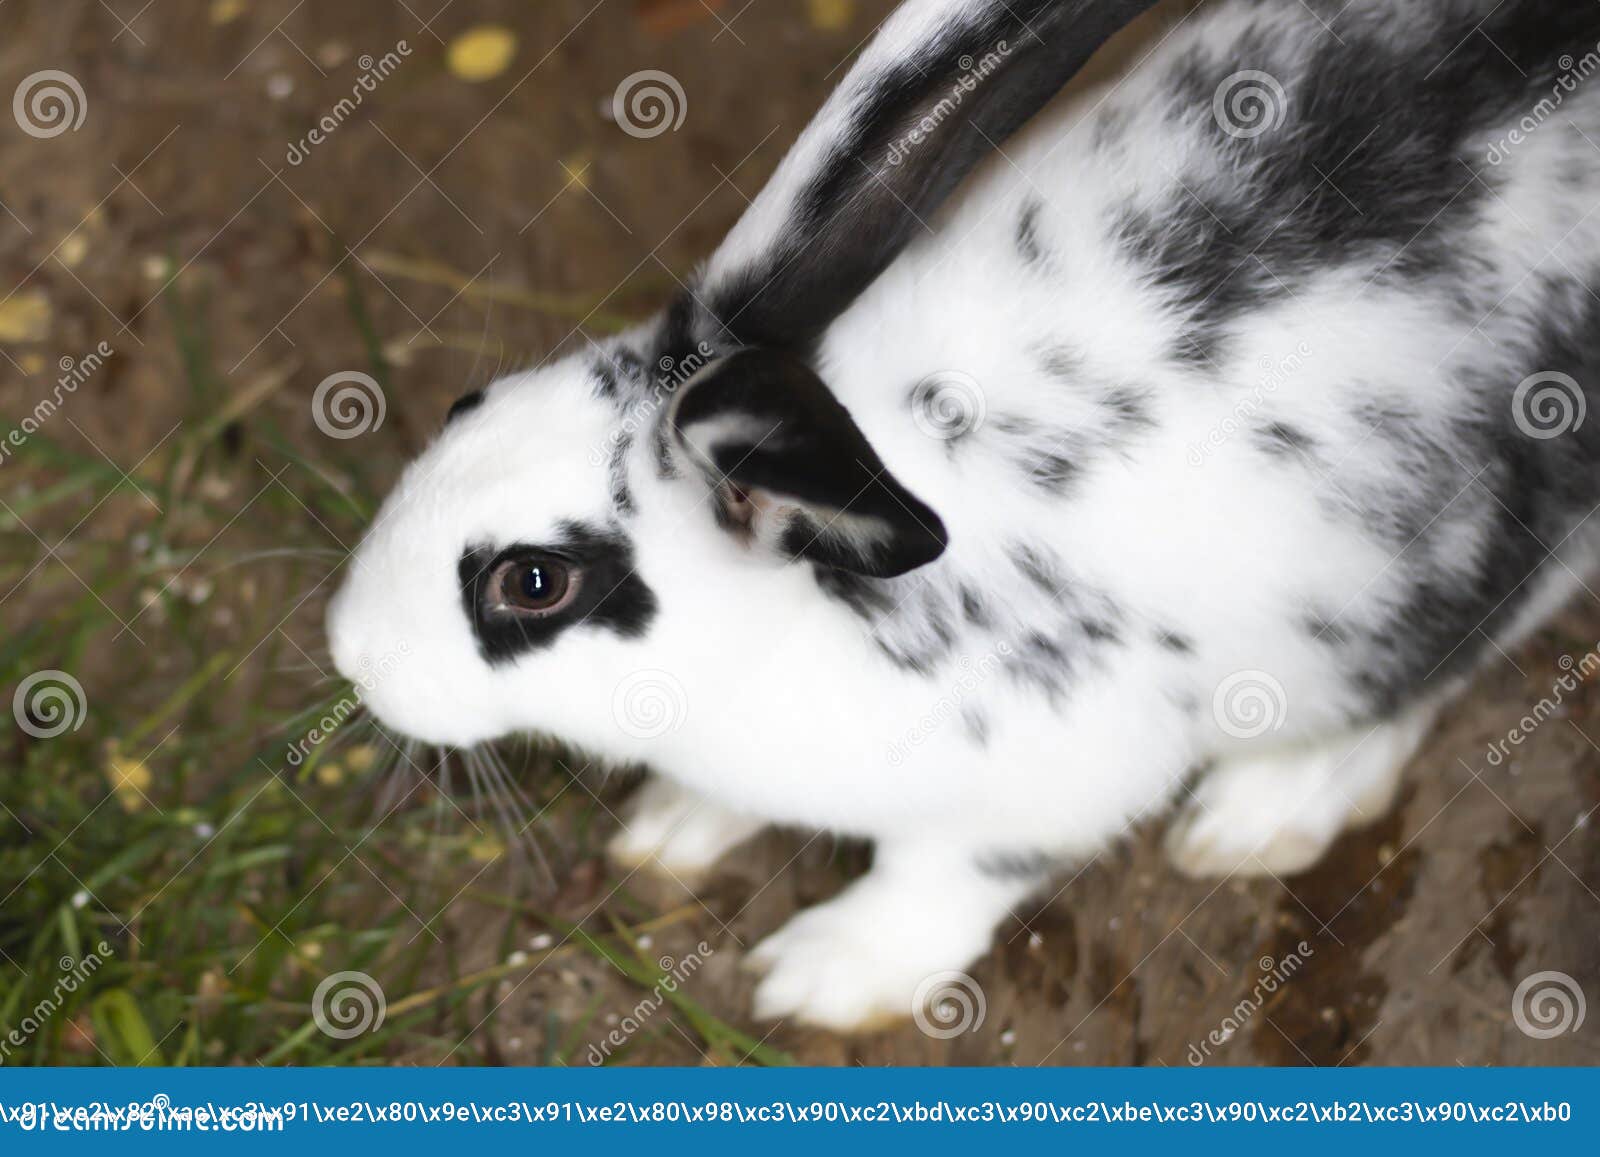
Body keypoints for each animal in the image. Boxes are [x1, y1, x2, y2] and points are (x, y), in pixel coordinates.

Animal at [326, 0, 1600, 1031]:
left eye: (533, 582)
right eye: (465, 404)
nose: (350, 653)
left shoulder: (1047, 782)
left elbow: (939, 878)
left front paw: (822, 975)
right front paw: (669, 831)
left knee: (1418, 681)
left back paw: (1254, 818)